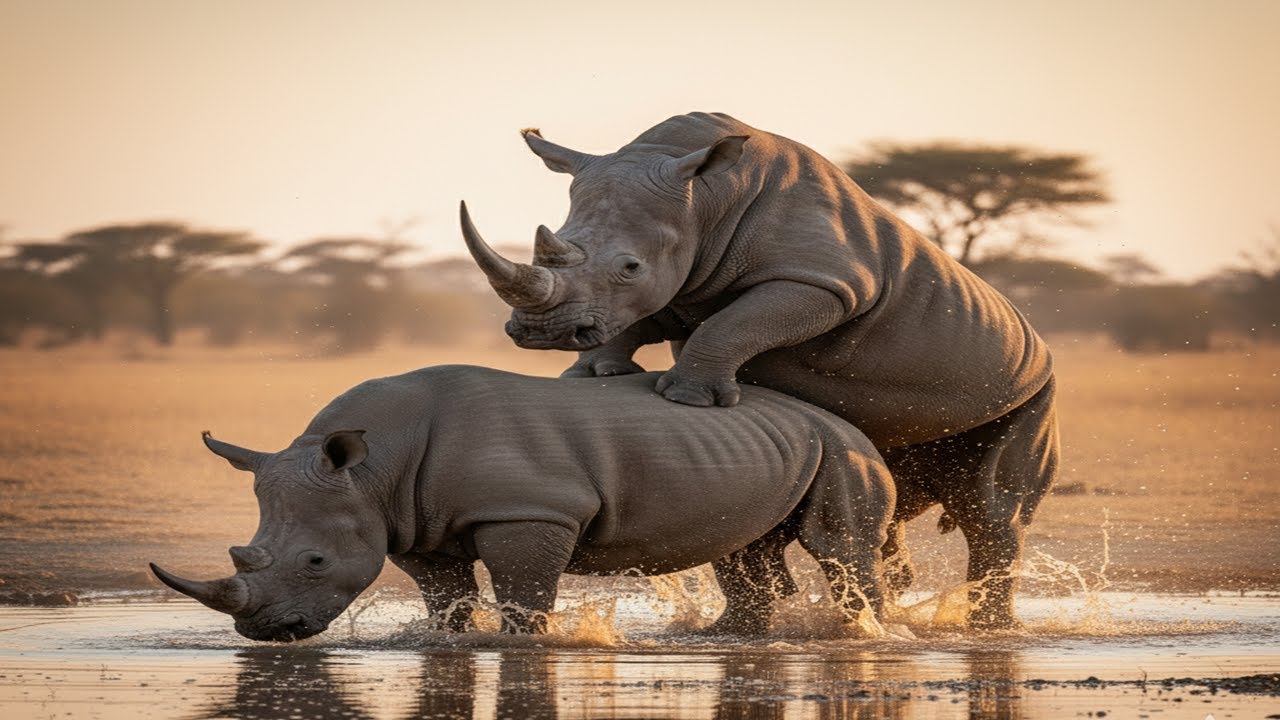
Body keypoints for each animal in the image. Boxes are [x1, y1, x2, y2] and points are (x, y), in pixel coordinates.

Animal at [150, 365, 894, 640]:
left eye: (313, 561)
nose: (264, 632)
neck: (374, 469)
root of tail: (859, 428)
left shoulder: (529, 512)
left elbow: (523, 589)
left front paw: (523, 642)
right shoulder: (411, 524)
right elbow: (445, 593)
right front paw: (448, 638)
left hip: (843, 451)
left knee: (841, 550)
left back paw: (869, 632)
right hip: (774, 449)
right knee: (746, 552)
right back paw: (725, 638)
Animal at [461, 112, 1060, 628]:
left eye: (631, 266)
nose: (543, 333)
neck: (703, 198)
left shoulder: (823, 281)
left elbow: (735, 322)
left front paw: (688, 400)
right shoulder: (685, 279)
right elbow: (645, 318)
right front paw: (591, 378)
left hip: (1035, 384)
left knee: (992, 511)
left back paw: (992, 629)